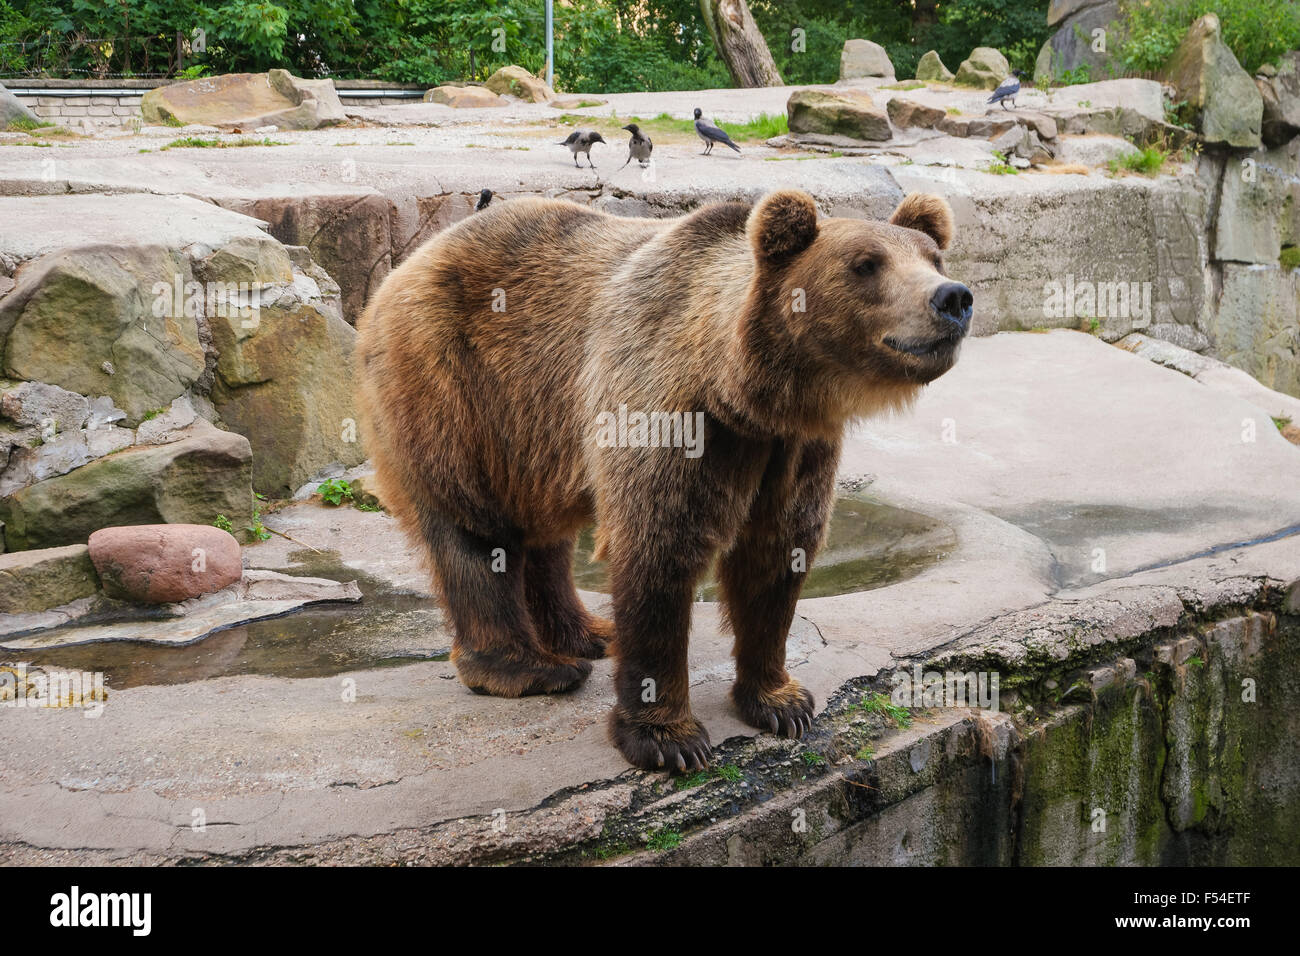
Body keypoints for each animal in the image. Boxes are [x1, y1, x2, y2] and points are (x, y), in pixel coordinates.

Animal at [354, 188, 972, 772]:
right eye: (866, 264)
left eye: (933, 257)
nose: (953, 298)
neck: (749, 394)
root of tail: (405, 266)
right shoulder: (668, 409)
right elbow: (661, 550)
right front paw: (668, 739)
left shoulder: (796, 450)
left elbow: (779, 551)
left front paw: (782, 702)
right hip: (456, 383)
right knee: (473, 523)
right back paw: (531, 668)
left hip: (535, 432)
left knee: (544, 531)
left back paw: (590, 634)